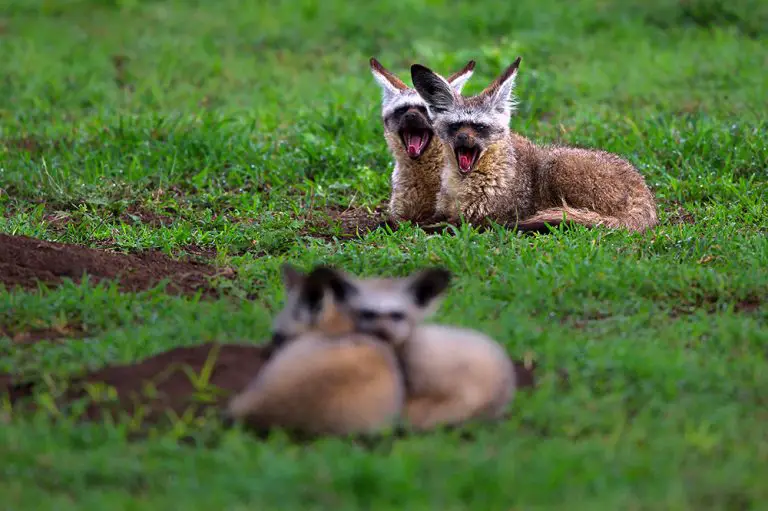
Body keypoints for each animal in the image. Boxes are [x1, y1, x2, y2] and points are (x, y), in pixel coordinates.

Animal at [409, 57, 659, 233]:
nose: (462, 138)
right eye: (455, 127)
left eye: (479, 127)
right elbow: (414, 220)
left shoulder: (481, 218)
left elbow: (425, 225)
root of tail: (644, 190)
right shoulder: (445, 211)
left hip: (555, 166)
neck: (462, 186)